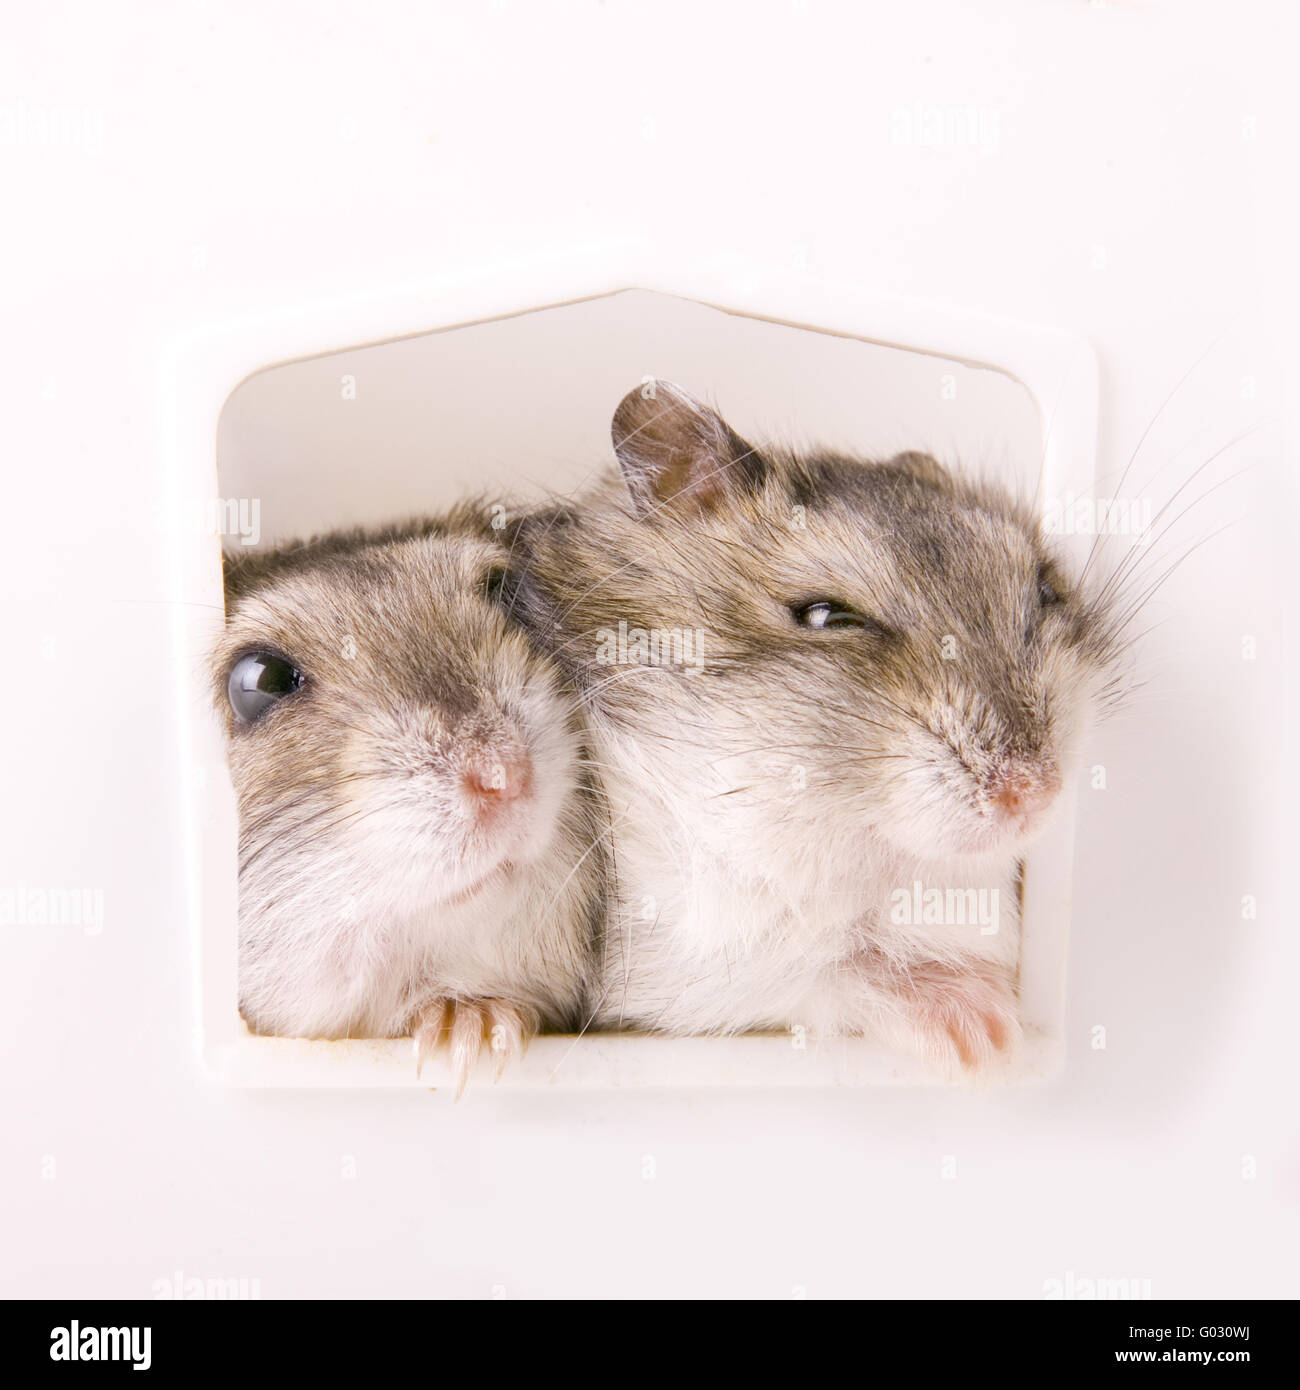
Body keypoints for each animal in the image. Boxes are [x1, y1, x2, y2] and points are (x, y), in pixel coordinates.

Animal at [513, 381, 1122, 1074]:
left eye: (1045, 591)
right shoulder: (674, 956)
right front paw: (988, 1036)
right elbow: (826, 967)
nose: (1034, 791)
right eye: (827, 615)